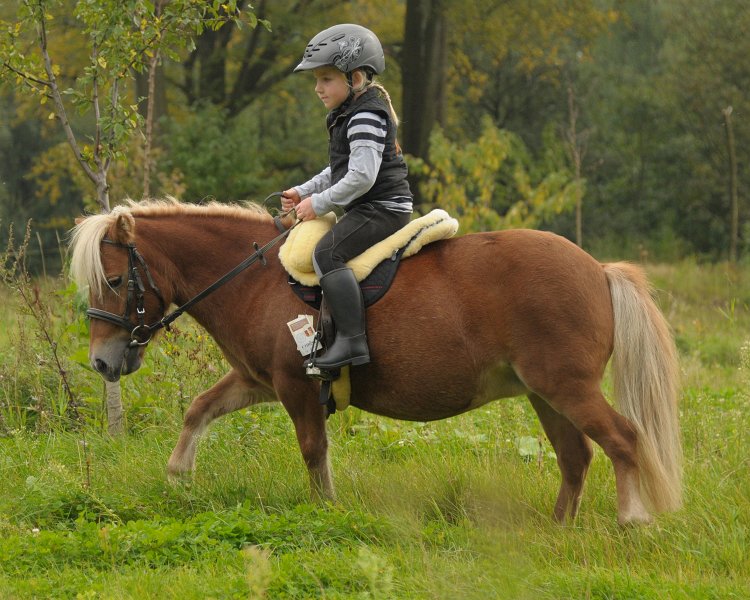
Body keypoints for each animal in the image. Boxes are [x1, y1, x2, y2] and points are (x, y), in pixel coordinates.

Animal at [69, 198, 682, 525]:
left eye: (116, 280)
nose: (101, 362)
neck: (255, 279)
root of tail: (598, 270)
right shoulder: (255, 381)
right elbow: (198, 409)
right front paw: (178, 477)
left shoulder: (295, 386)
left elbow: (313, 451)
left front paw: (326, 511)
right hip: (544, 393)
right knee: (576, 457)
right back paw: (557, 529)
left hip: (567, 388)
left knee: (623, 439)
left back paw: (632, 519)